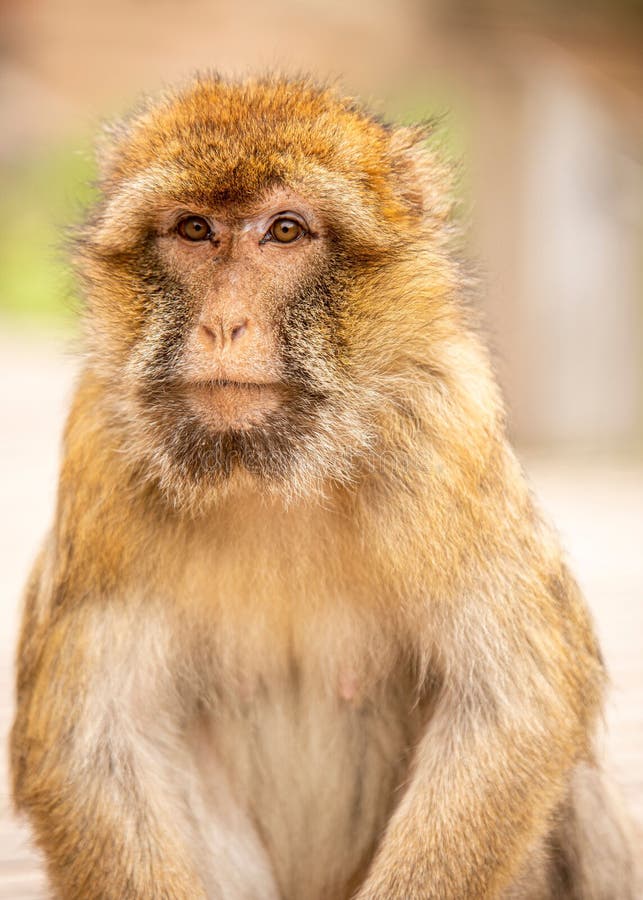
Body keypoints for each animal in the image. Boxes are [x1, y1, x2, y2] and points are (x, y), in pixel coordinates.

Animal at [10, 74, 639, 900]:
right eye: (194, 230)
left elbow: (514, 705)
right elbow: (91, 741)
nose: (224, 325)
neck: (273, 467)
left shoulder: (444, 428)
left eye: (284, 231)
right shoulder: (102, 443)